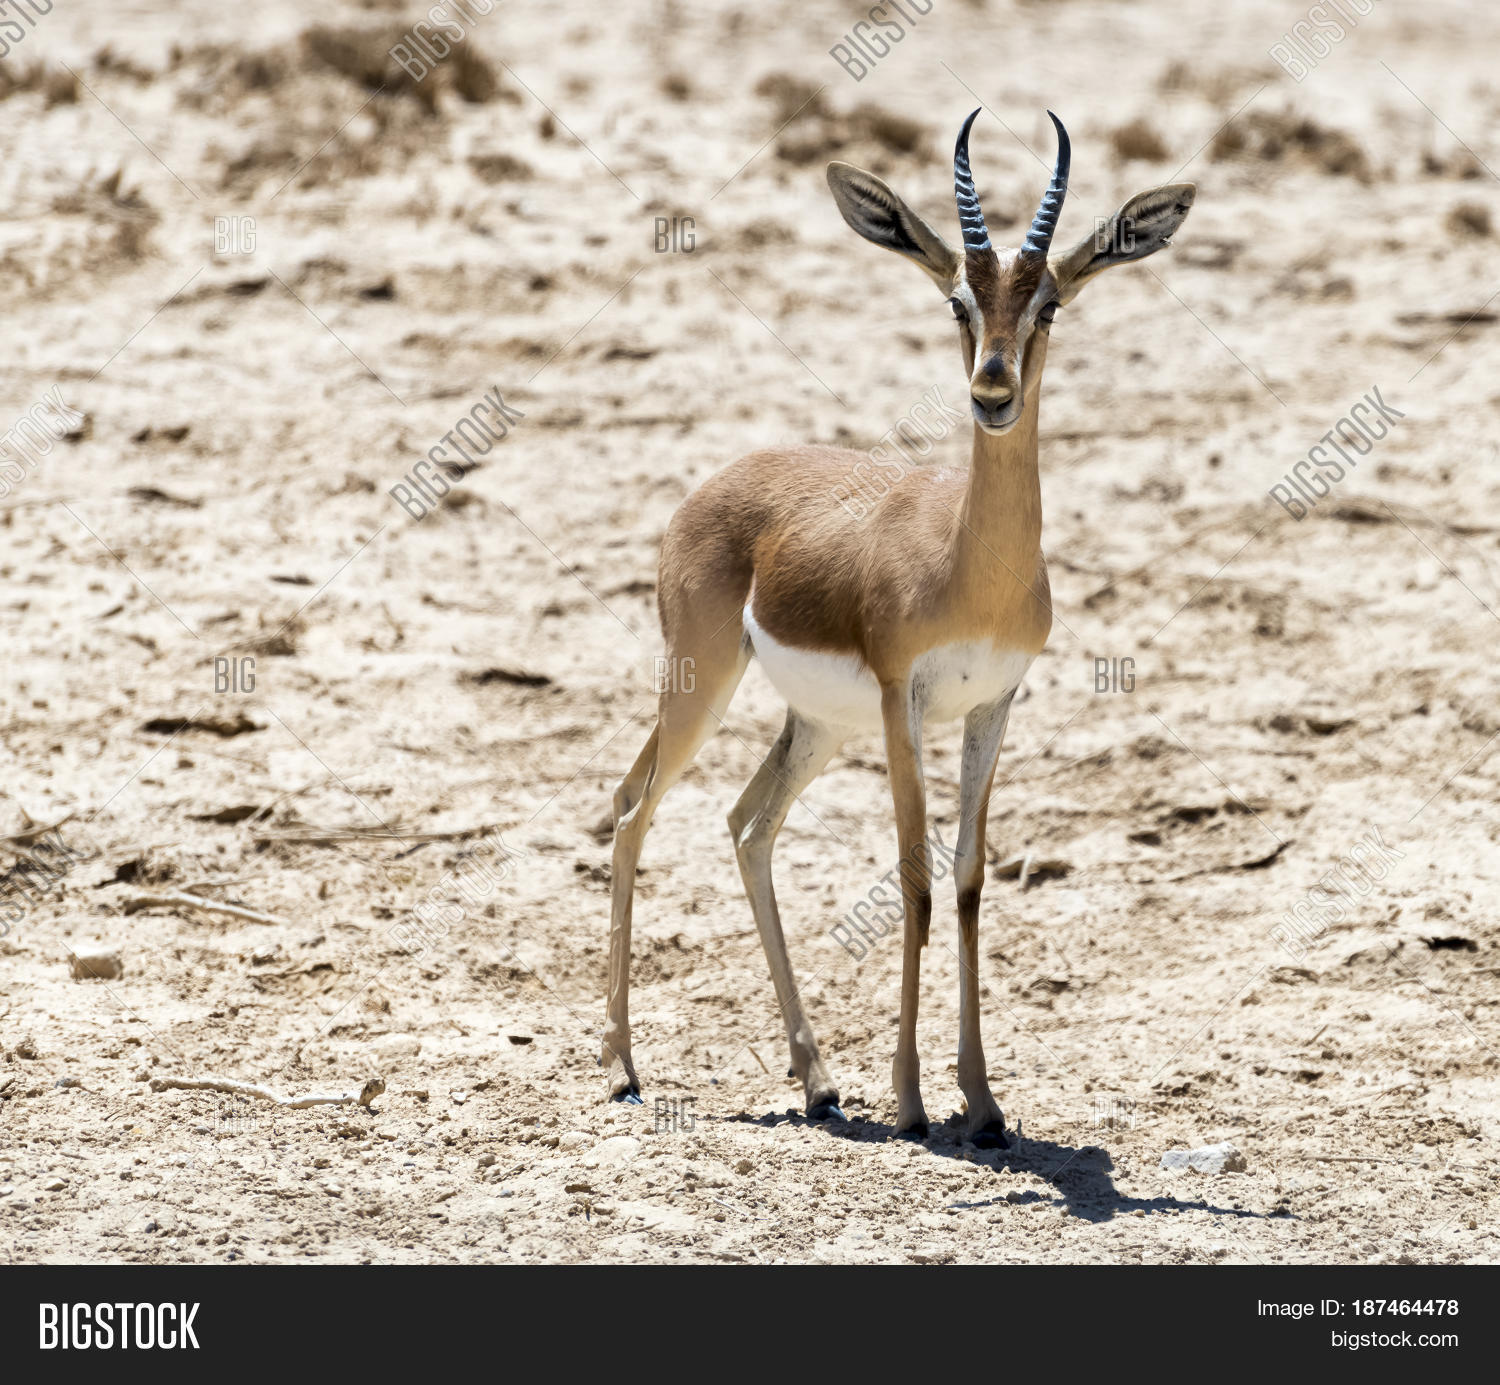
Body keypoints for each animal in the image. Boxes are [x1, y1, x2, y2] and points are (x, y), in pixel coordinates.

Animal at [602, 109, 1195, 1142]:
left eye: (1048, 306)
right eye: (959, 302)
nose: (993, 394)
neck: (970, 567)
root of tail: (710, 485)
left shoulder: (994, 704)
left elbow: (966, 876)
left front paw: (984, 1100)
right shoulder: (901, 699)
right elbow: (913, 875)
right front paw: (916, 1097)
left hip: (813, 723)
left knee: (742, 822)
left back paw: (817, 1080)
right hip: (706, 683)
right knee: (636, 812)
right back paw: (625, 1067)